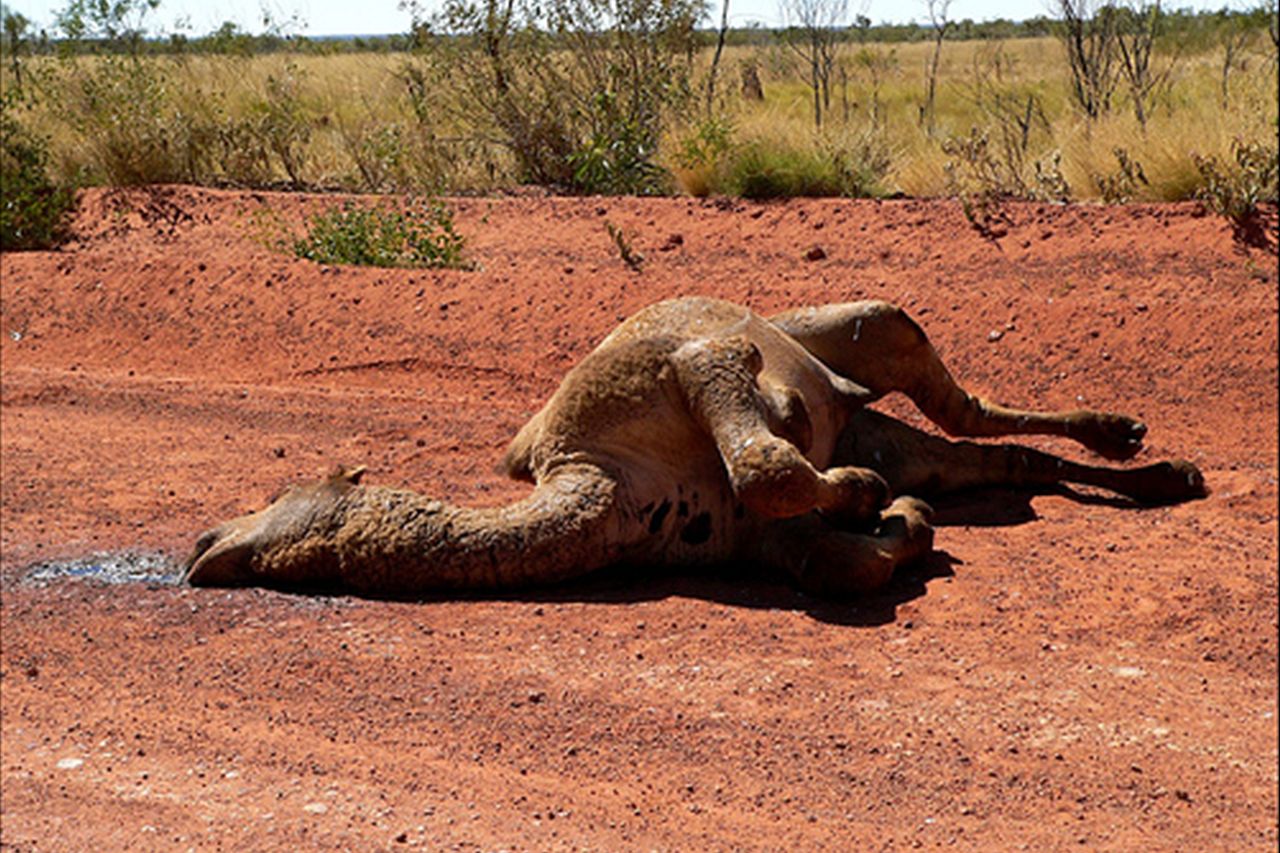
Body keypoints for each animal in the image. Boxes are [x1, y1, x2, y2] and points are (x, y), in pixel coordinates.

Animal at [185, 297, 1206, 597]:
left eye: (270, 498)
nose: (198, 548)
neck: (604, 481)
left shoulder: (695, 358)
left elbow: (767, 456)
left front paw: (858, 489)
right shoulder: (753, 541)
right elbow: (837, 556)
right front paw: (895, 512)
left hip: (853, 329)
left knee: (957, 396)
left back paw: (1132, 436)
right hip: (884, 418)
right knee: (990, 456)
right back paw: (1158, 469)